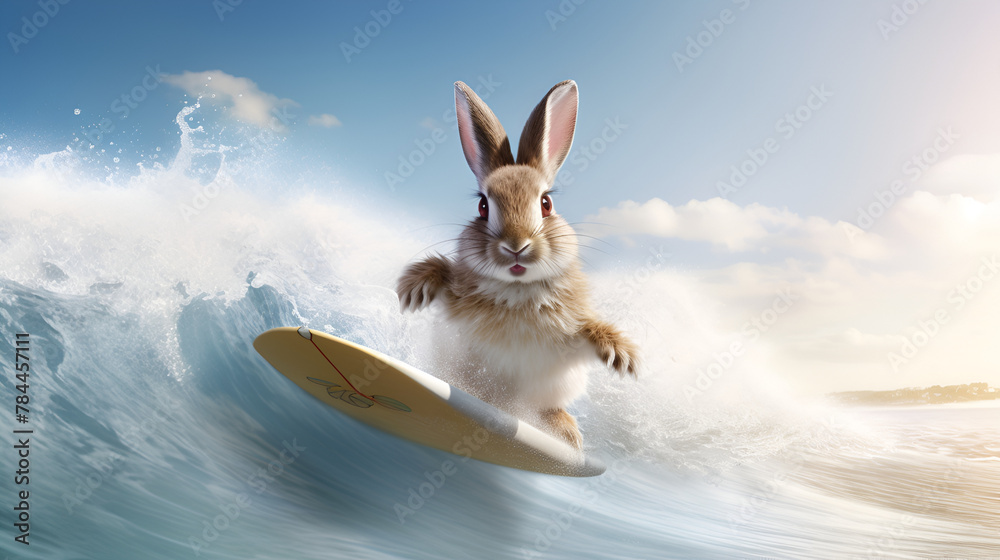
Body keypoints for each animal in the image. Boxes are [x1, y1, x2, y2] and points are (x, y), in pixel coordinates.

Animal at [396, 79, 638, 449]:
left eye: (546, 203)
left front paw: (621, 357)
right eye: (483, 206)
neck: (517, 290)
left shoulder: (570, 338)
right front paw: (413, 290)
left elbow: (590, 330)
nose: (516, 246)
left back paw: (566, 434)